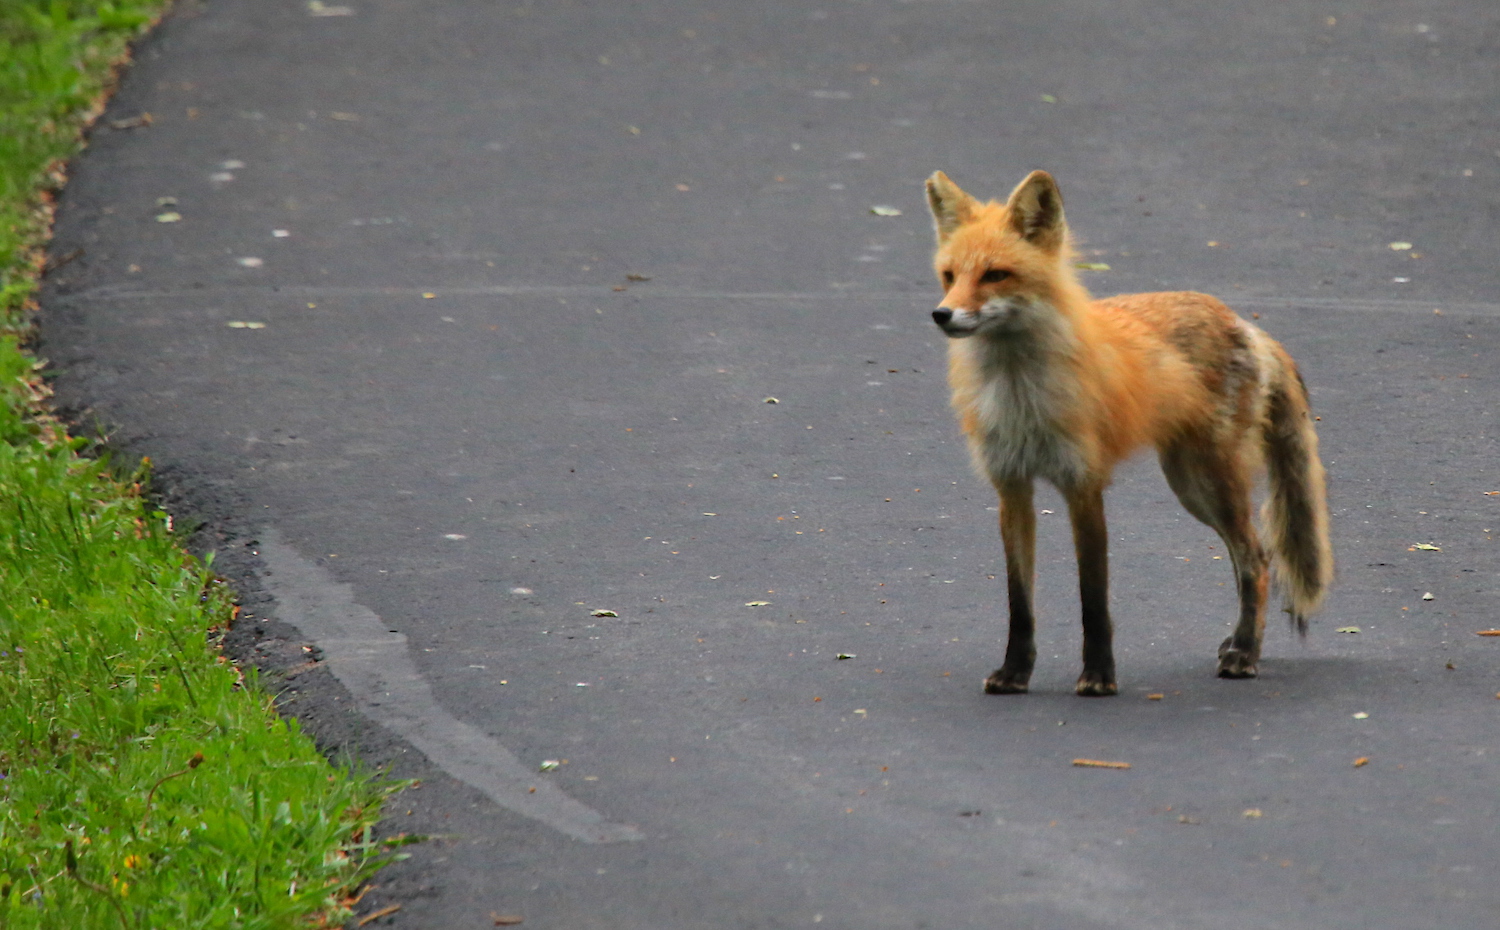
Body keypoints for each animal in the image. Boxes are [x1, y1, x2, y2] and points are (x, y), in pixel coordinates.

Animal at [923, 169, 1332, 696]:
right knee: (1246, 558)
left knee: (1257, 560)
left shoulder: (1084, 484)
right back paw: (1237, 642)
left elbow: (1093, 598)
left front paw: (1099, 675)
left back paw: (1245, 653)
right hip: (1192, 484)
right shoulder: (1011, 488)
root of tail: (1242, 320)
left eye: (995, 275)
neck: (1020, 393)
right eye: (950, 277)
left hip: (1209, 483)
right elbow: (1020, 603)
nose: (942, 314)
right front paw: (1015, 672)